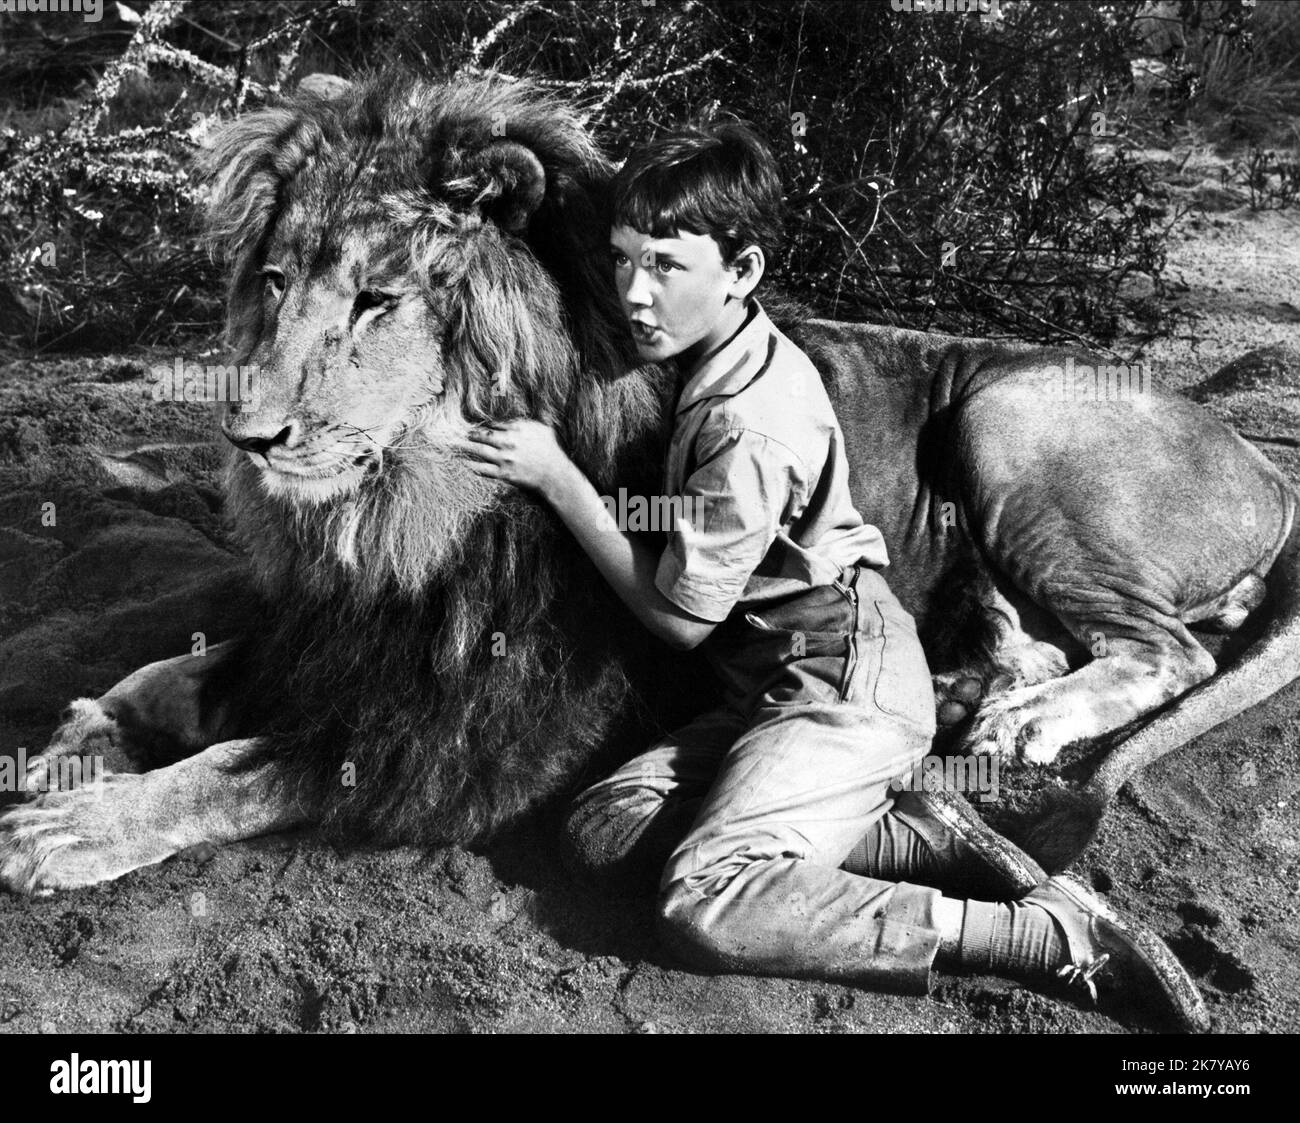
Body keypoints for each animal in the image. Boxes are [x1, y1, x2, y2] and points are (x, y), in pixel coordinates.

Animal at [1, 72, 1296, 904]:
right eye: (273, 282)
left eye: (377, 300)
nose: (251, 435)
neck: (401, 514)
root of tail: (1260, 458)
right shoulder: (338, 626)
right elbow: (179, 672)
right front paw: (82, 735)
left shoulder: (475, 725)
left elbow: (248, 764)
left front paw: (75, 822)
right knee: (1073, 638)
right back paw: (979, 687)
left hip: (1007, 414)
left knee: (1170, 649)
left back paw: (1026, 719)